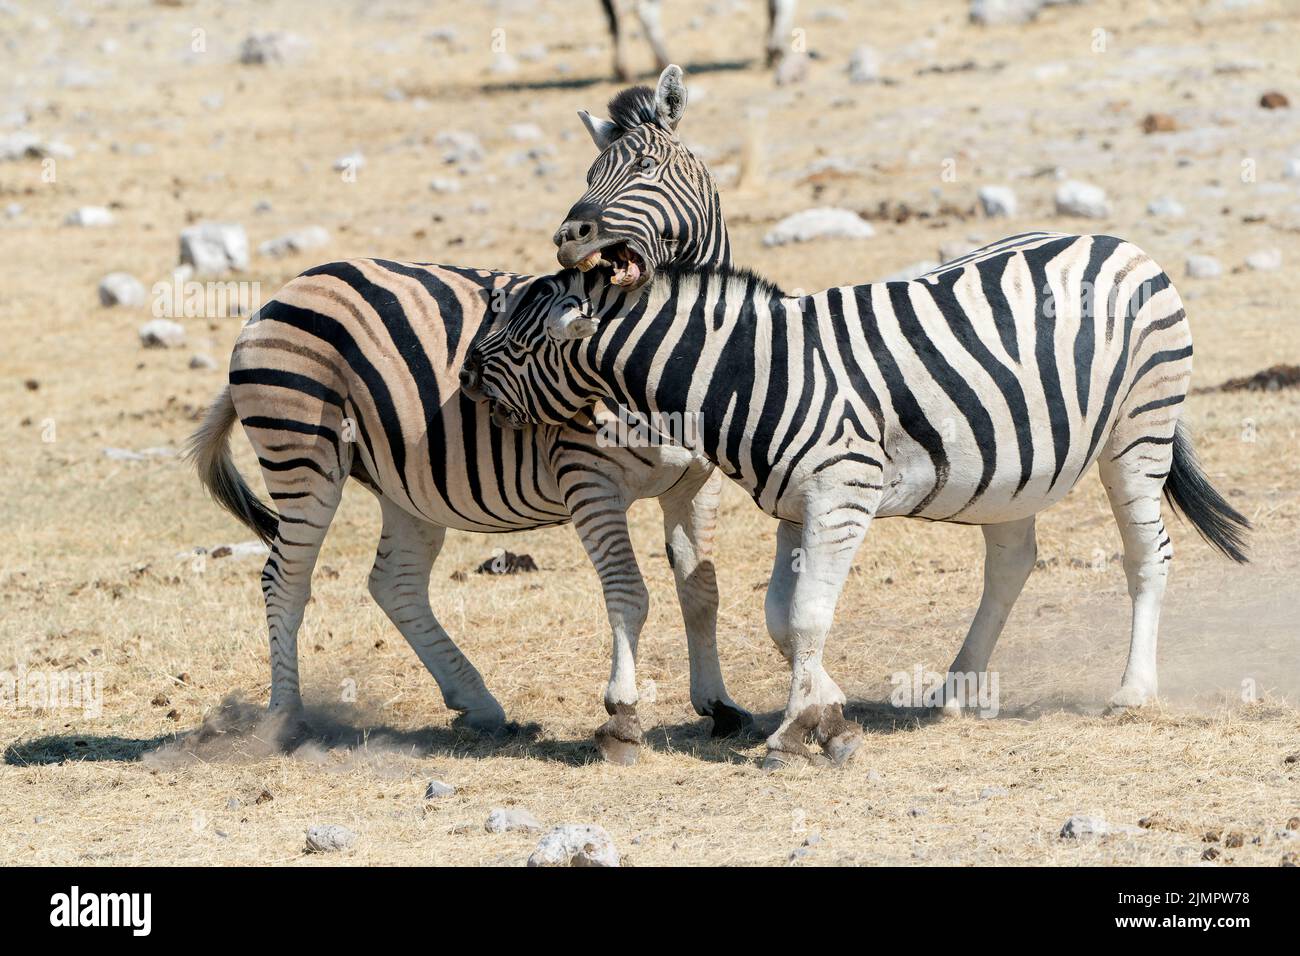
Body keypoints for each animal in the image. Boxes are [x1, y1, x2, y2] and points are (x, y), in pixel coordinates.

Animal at [186, 67, 751, 763]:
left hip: (404, 482)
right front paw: (622, 716)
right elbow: (628, 592)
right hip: (304, 456)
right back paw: (285, 721)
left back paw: (477, 702)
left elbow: (702, 590)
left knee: (394, 582)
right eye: (589, 174)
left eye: (645, 166)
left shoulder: (695, 484)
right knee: (284, 579)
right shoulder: (588, 477)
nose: (570, 235)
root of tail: (279, 294)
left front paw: (719, 705)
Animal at [461, 231, 1251, 769]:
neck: (753, 372)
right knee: (1011, 563)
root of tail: (1120, 244)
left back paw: (1131, 693)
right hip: (1013, 468)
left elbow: (809, 615)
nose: (464, 380)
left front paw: (793, 734)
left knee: (1148, 554)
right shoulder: (792, 507)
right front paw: (825, 714)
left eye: (520, 343)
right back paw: (959, 690)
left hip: (1138, 430)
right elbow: (783, 619)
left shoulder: (843, 492)